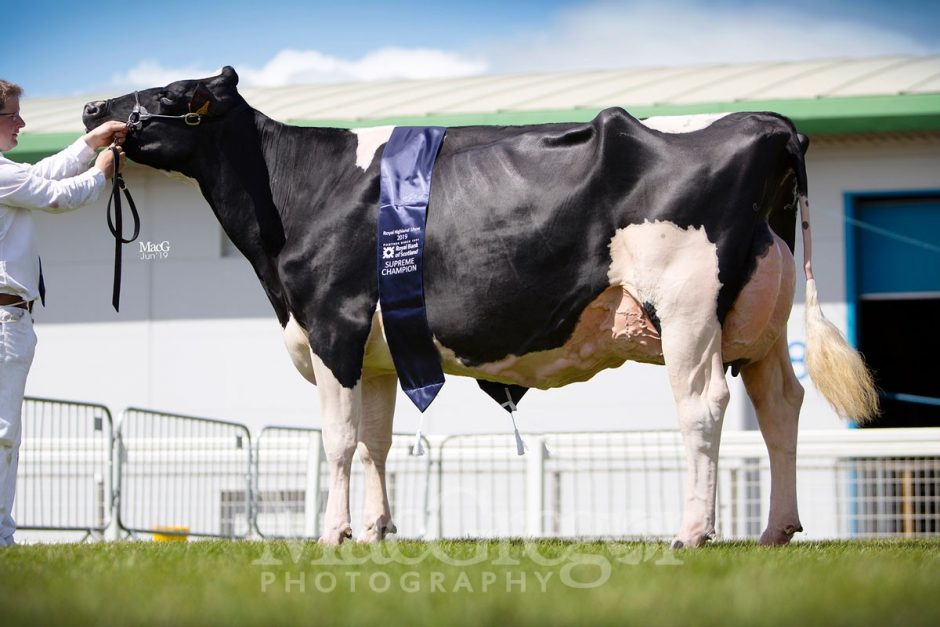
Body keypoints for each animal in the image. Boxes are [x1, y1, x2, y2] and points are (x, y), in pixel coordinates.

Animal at [83, 66, 877, 548]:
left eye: (170, 95)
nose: (91, 106)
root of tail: (770, 124)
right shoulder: (378, 349)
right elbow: (376, 442)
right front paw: (376, 533)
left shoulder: (334, 326)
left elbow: (337, 441)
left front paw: (332, 535)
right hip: (759, 320)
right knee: (780, 404)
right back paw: (776, 531)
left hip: (688, 308)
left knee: (705, 405)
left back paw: (692, 533)